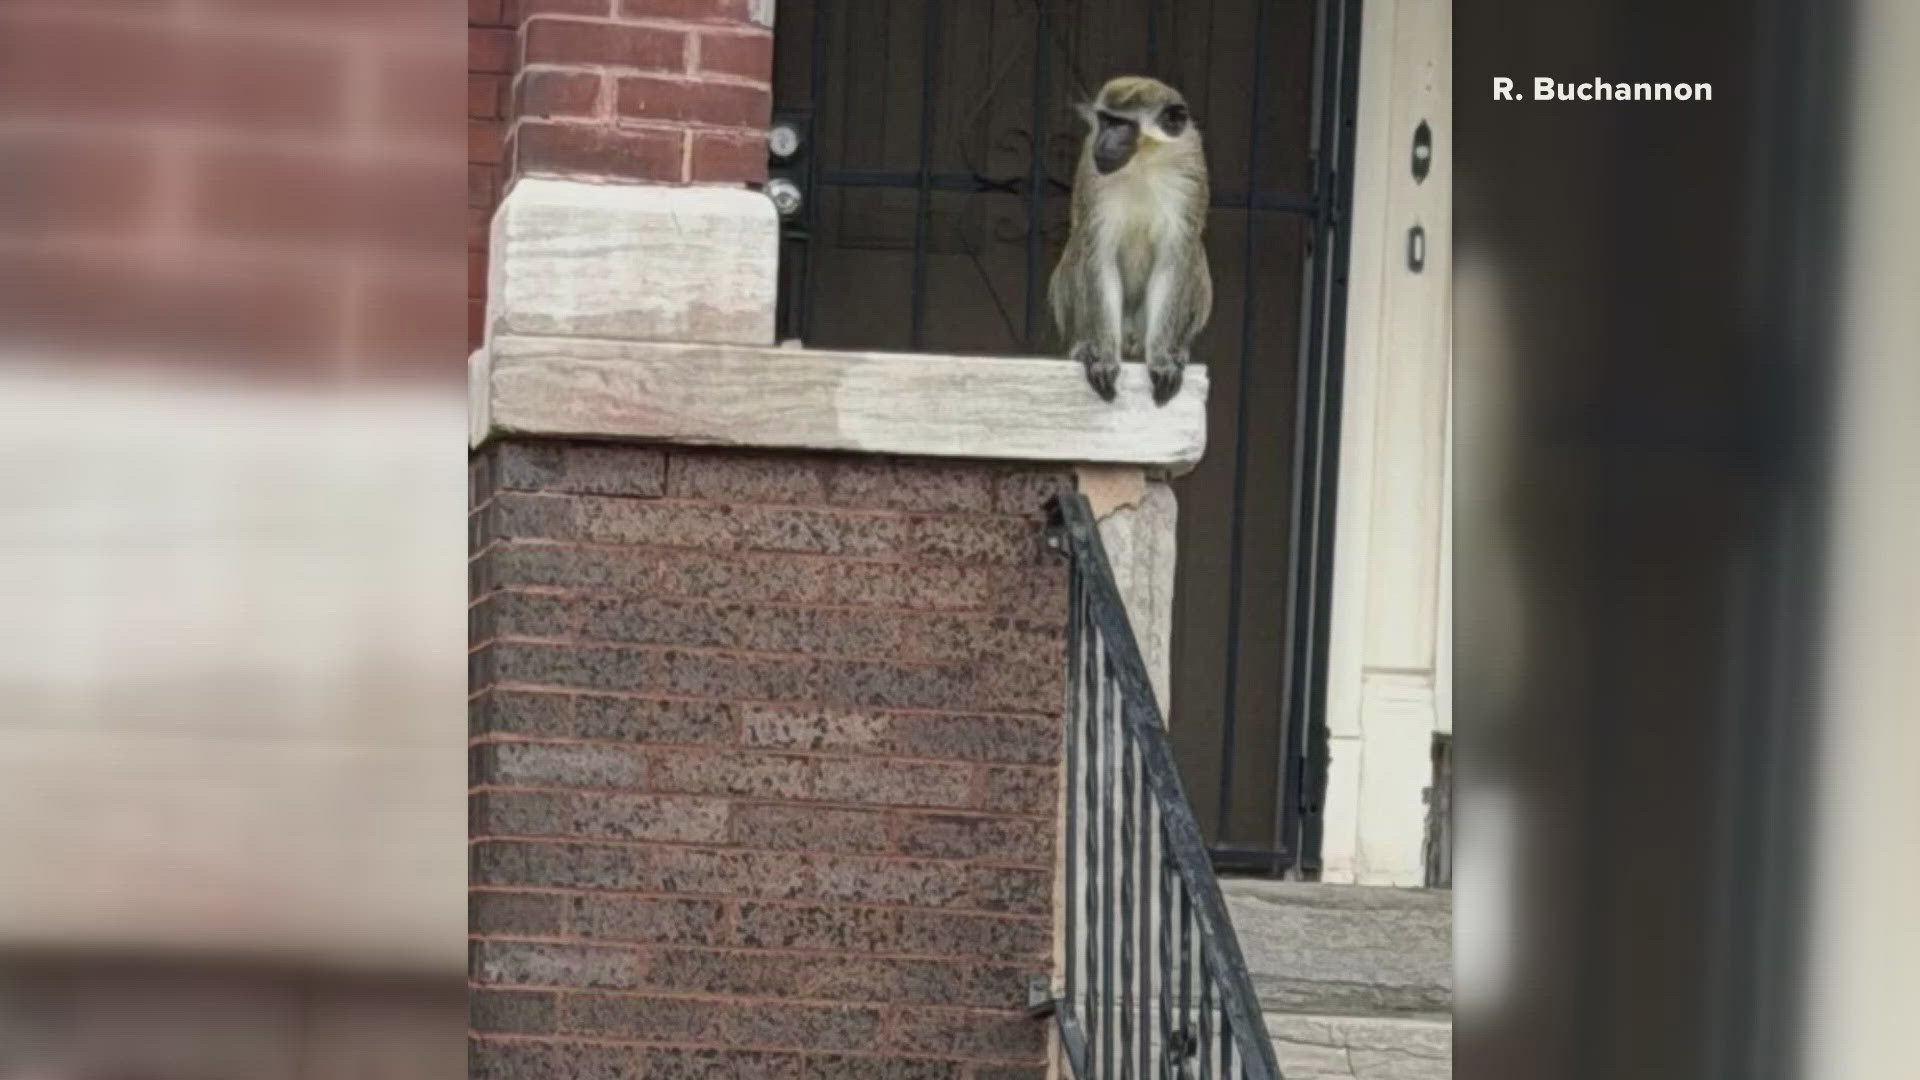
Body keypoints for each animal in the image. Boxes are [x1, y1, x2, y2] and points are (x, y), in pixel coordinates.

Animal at [1049, 76, 1213, 405]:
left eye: (1122, 125)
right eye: (1104, 120)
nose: (1103, 142)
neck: (1143, 161)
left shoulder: (1190, 169)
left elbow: (1174, 260)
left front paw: (1161, 358)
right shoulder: (1092, 169)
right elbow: (1098, 257)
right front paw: (1104, 357)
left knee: (1194, 252)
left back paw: (1177, 350)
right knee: (1079, 245)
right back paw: (1085, 345)